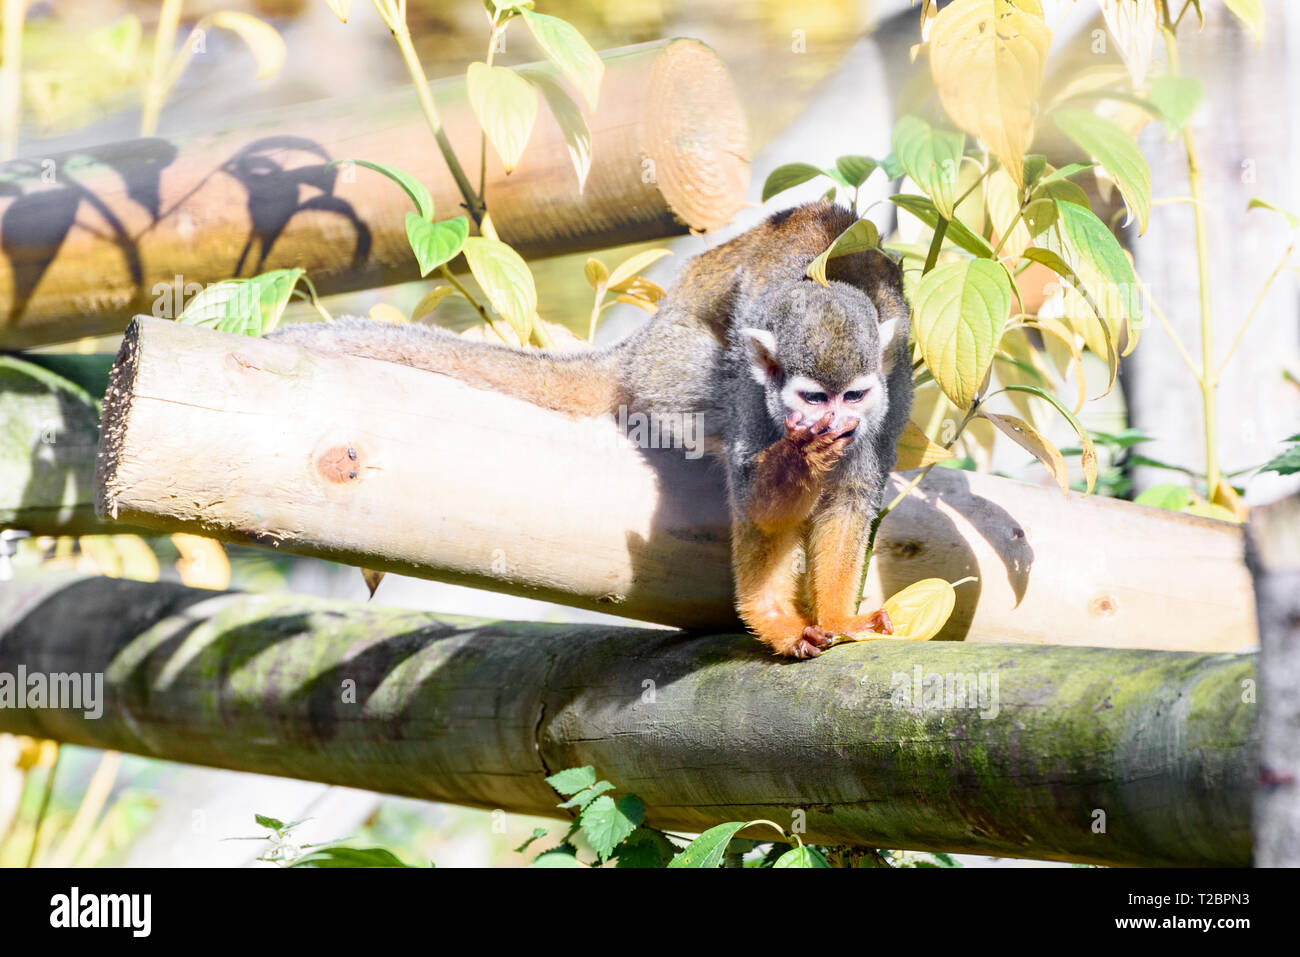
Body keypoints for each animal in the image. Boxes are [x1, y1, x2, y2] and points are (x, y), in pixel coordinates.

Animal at [268, 201, 912, 659]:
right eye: (813, 398)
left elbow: (850, 500)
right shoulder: (754, 389)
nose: (838, 421)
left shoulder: (890, 390)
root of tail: (636, 348)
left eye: (853, 396)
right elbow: (758, 502)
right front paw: (798, 468)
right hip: (671, 372)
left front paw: (836, 617)